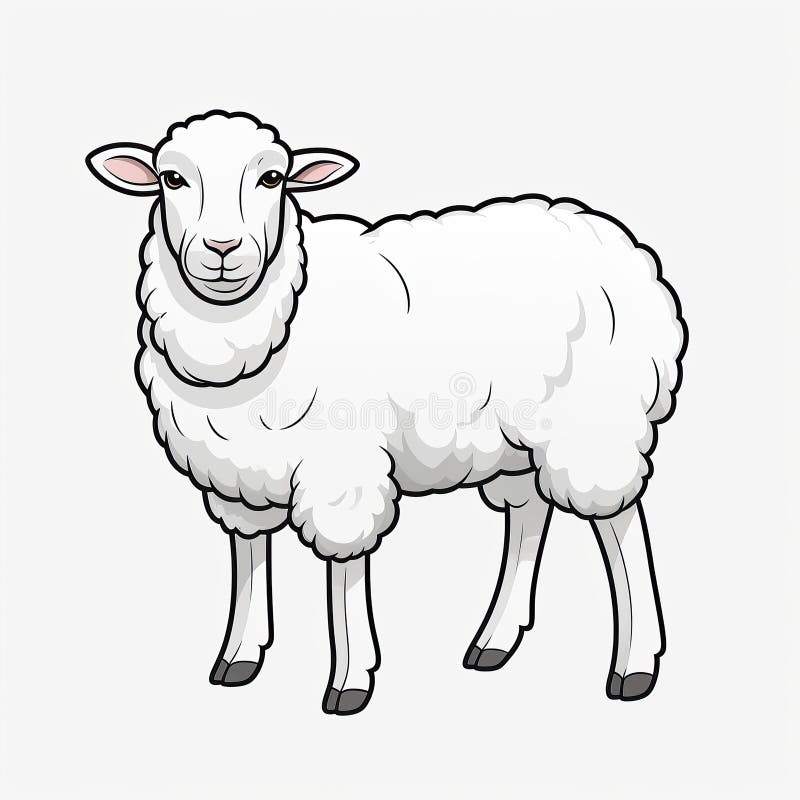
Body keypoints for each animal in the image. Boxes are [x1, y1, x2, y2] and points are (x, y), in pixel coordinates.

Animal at [86, 110, 687, 715]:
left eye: (272, 177)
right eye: (172, 179)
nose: (223, 249)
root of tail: (616, 240)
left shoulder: (341, 470)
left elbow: (343, 571)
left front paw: (350, 681)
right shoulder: (239, 474)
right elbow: (249, 557)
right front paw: (238, 658)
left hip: (595, 423)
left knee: (619, 525)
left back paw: (634, 666)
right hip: (515, 440)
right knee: (528, 514)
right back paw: (494, 641)